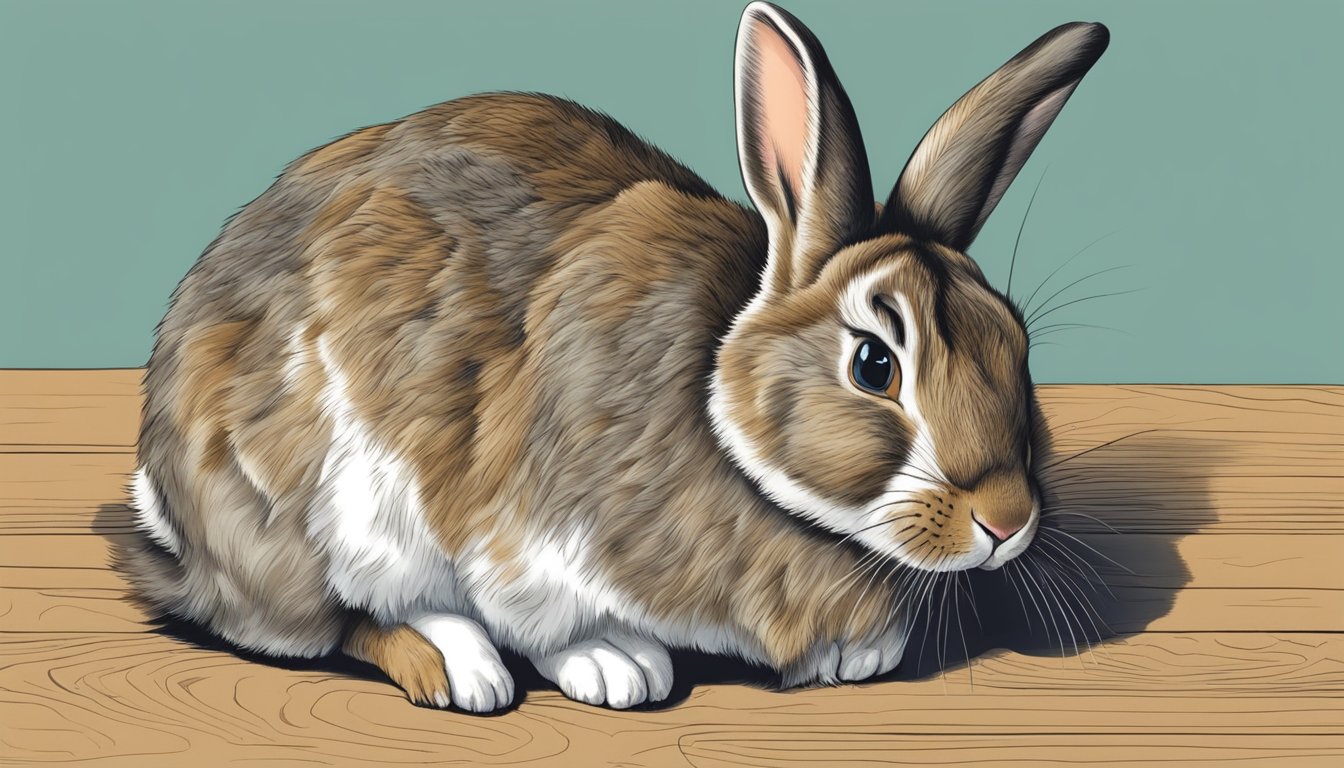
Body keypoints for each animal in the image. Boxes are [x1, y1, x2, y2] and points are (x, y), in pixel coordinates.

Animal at [123, 2, 1108, 712]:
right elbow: (542, 615)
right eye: (874, 365)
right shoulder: (523, 534)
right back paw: (463, 666)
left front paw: (858, 655)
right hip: (329, 504)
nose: (1007, 520)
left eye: (1013, 340)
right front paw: (611, 661)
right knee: (339, 618)